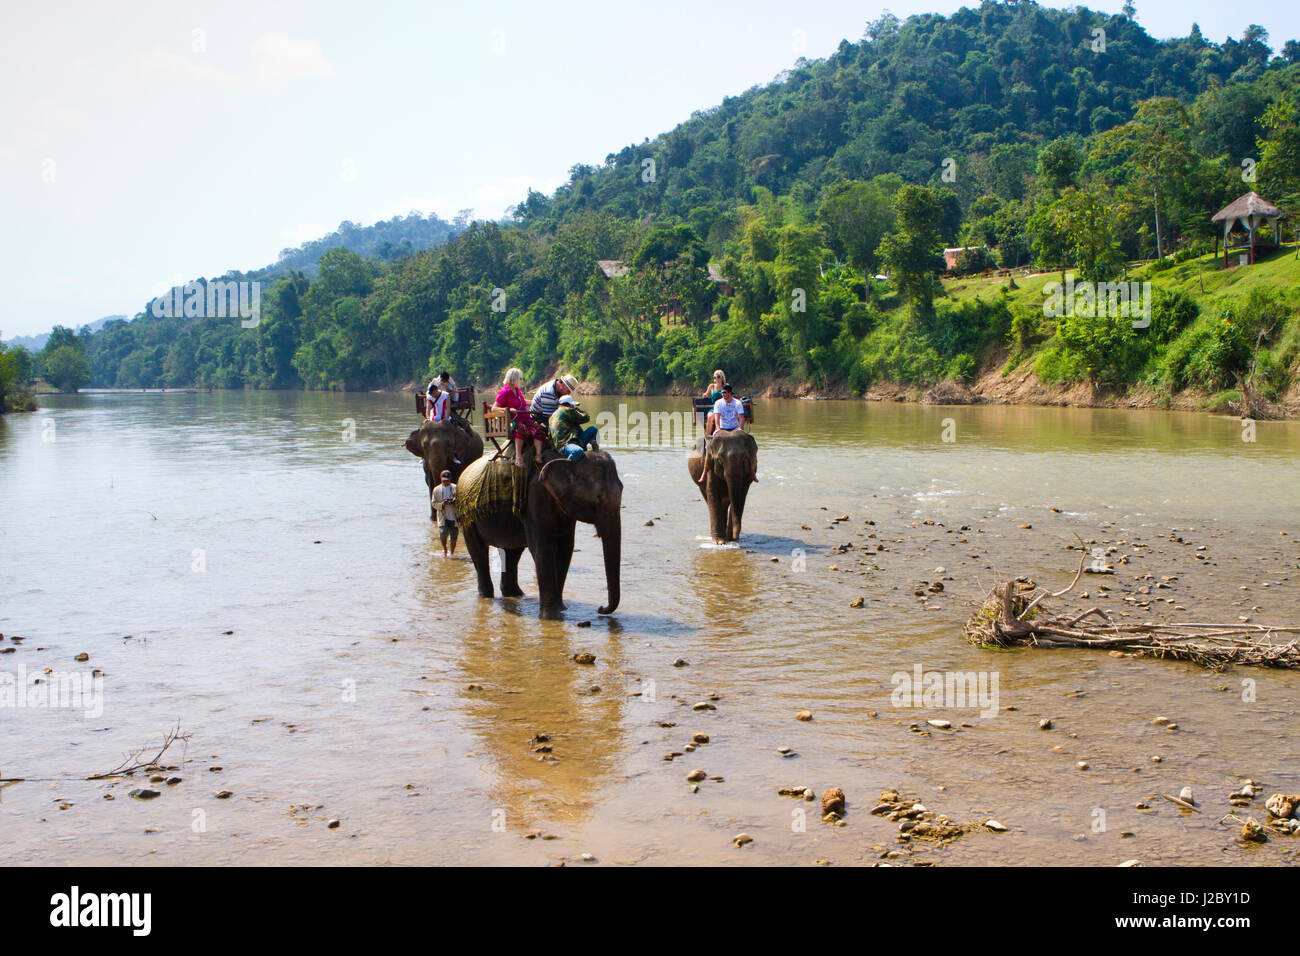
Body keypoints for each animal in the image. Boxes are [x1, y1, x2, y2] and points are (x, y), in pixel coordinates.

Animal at [458, 450, 623, 619]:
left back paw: (516, 595)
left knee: (512, 553)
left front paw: (562, 609)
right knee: (479, 553)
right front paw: (551, 616)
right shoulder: (534, 499)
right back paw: (487, 597)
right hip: (466, 516)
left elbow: (565, 548)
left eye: (622, 489)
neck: (566, 461)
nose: (601, 608)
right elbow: (541, 547)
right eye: (597, 498)